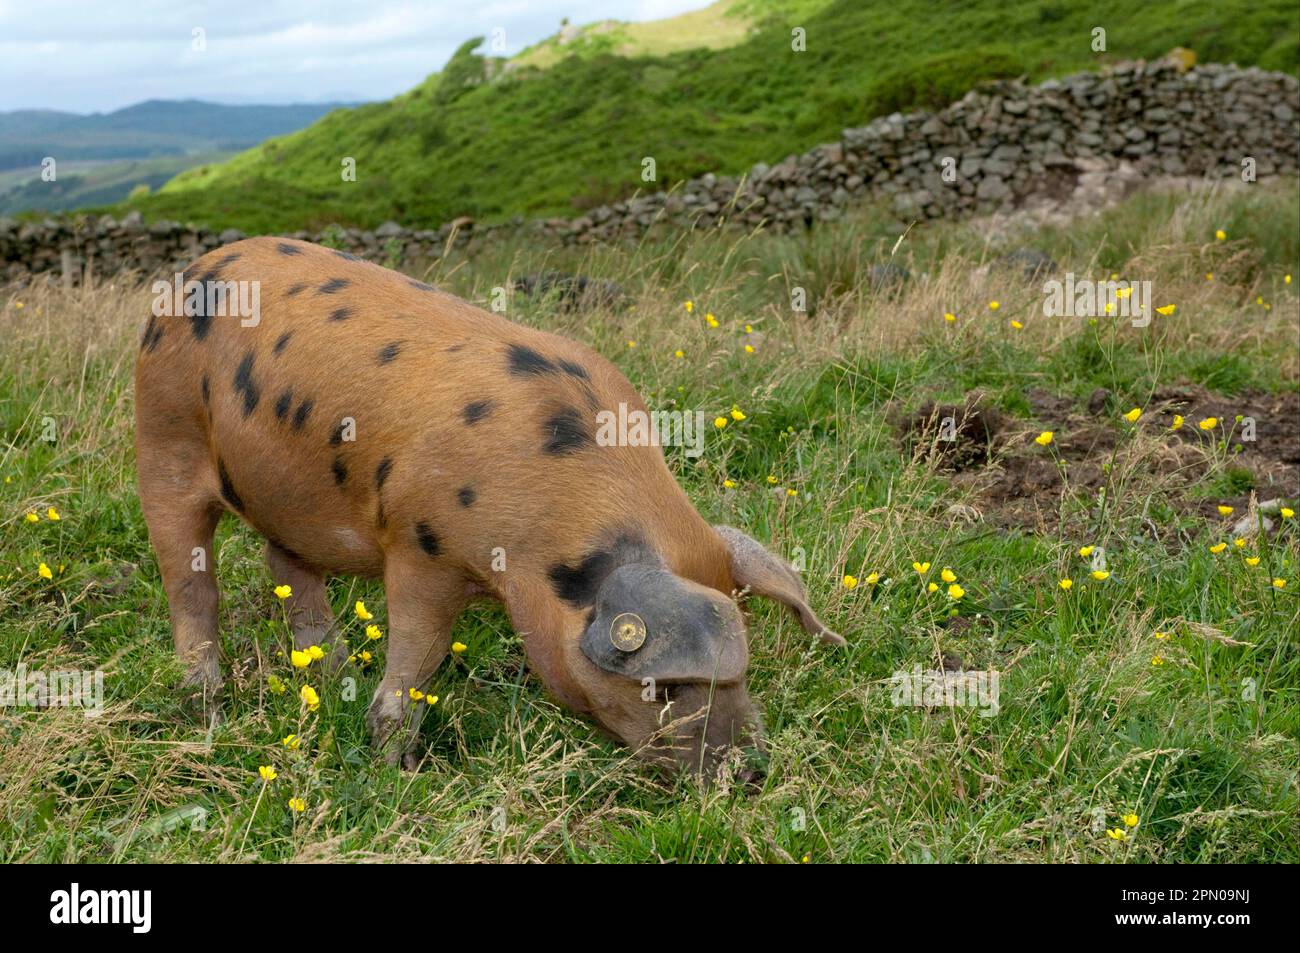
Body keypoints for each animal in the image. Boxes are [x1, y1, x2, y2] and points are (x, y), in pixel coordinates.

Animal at [134, 237, 843, 779]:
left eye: (742, 670)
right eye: (663, 687)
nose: (749, 774)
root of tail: (192, 272)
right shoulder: (419, 545)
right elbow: (419, 656)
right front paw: (398, 766)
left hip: (289, 500)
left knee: (288, 571)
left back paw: (332, 674)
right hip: (163, 434)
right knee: (189, 578)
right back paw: (207, 702)